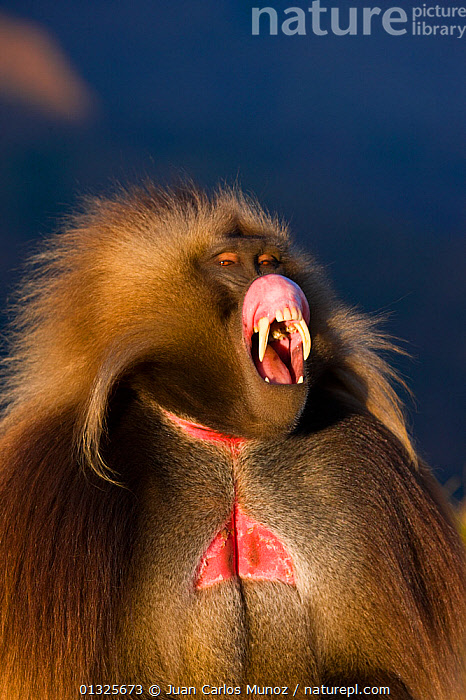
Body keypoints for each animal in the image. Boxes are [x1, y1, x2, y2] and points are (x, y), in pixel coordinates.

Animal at [0, 184, 464, 700]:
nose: (273, 277)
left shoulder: (363, 466)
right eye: (226, 262)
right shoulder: (53, 492)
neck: (230, 445)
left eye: (267, 259)